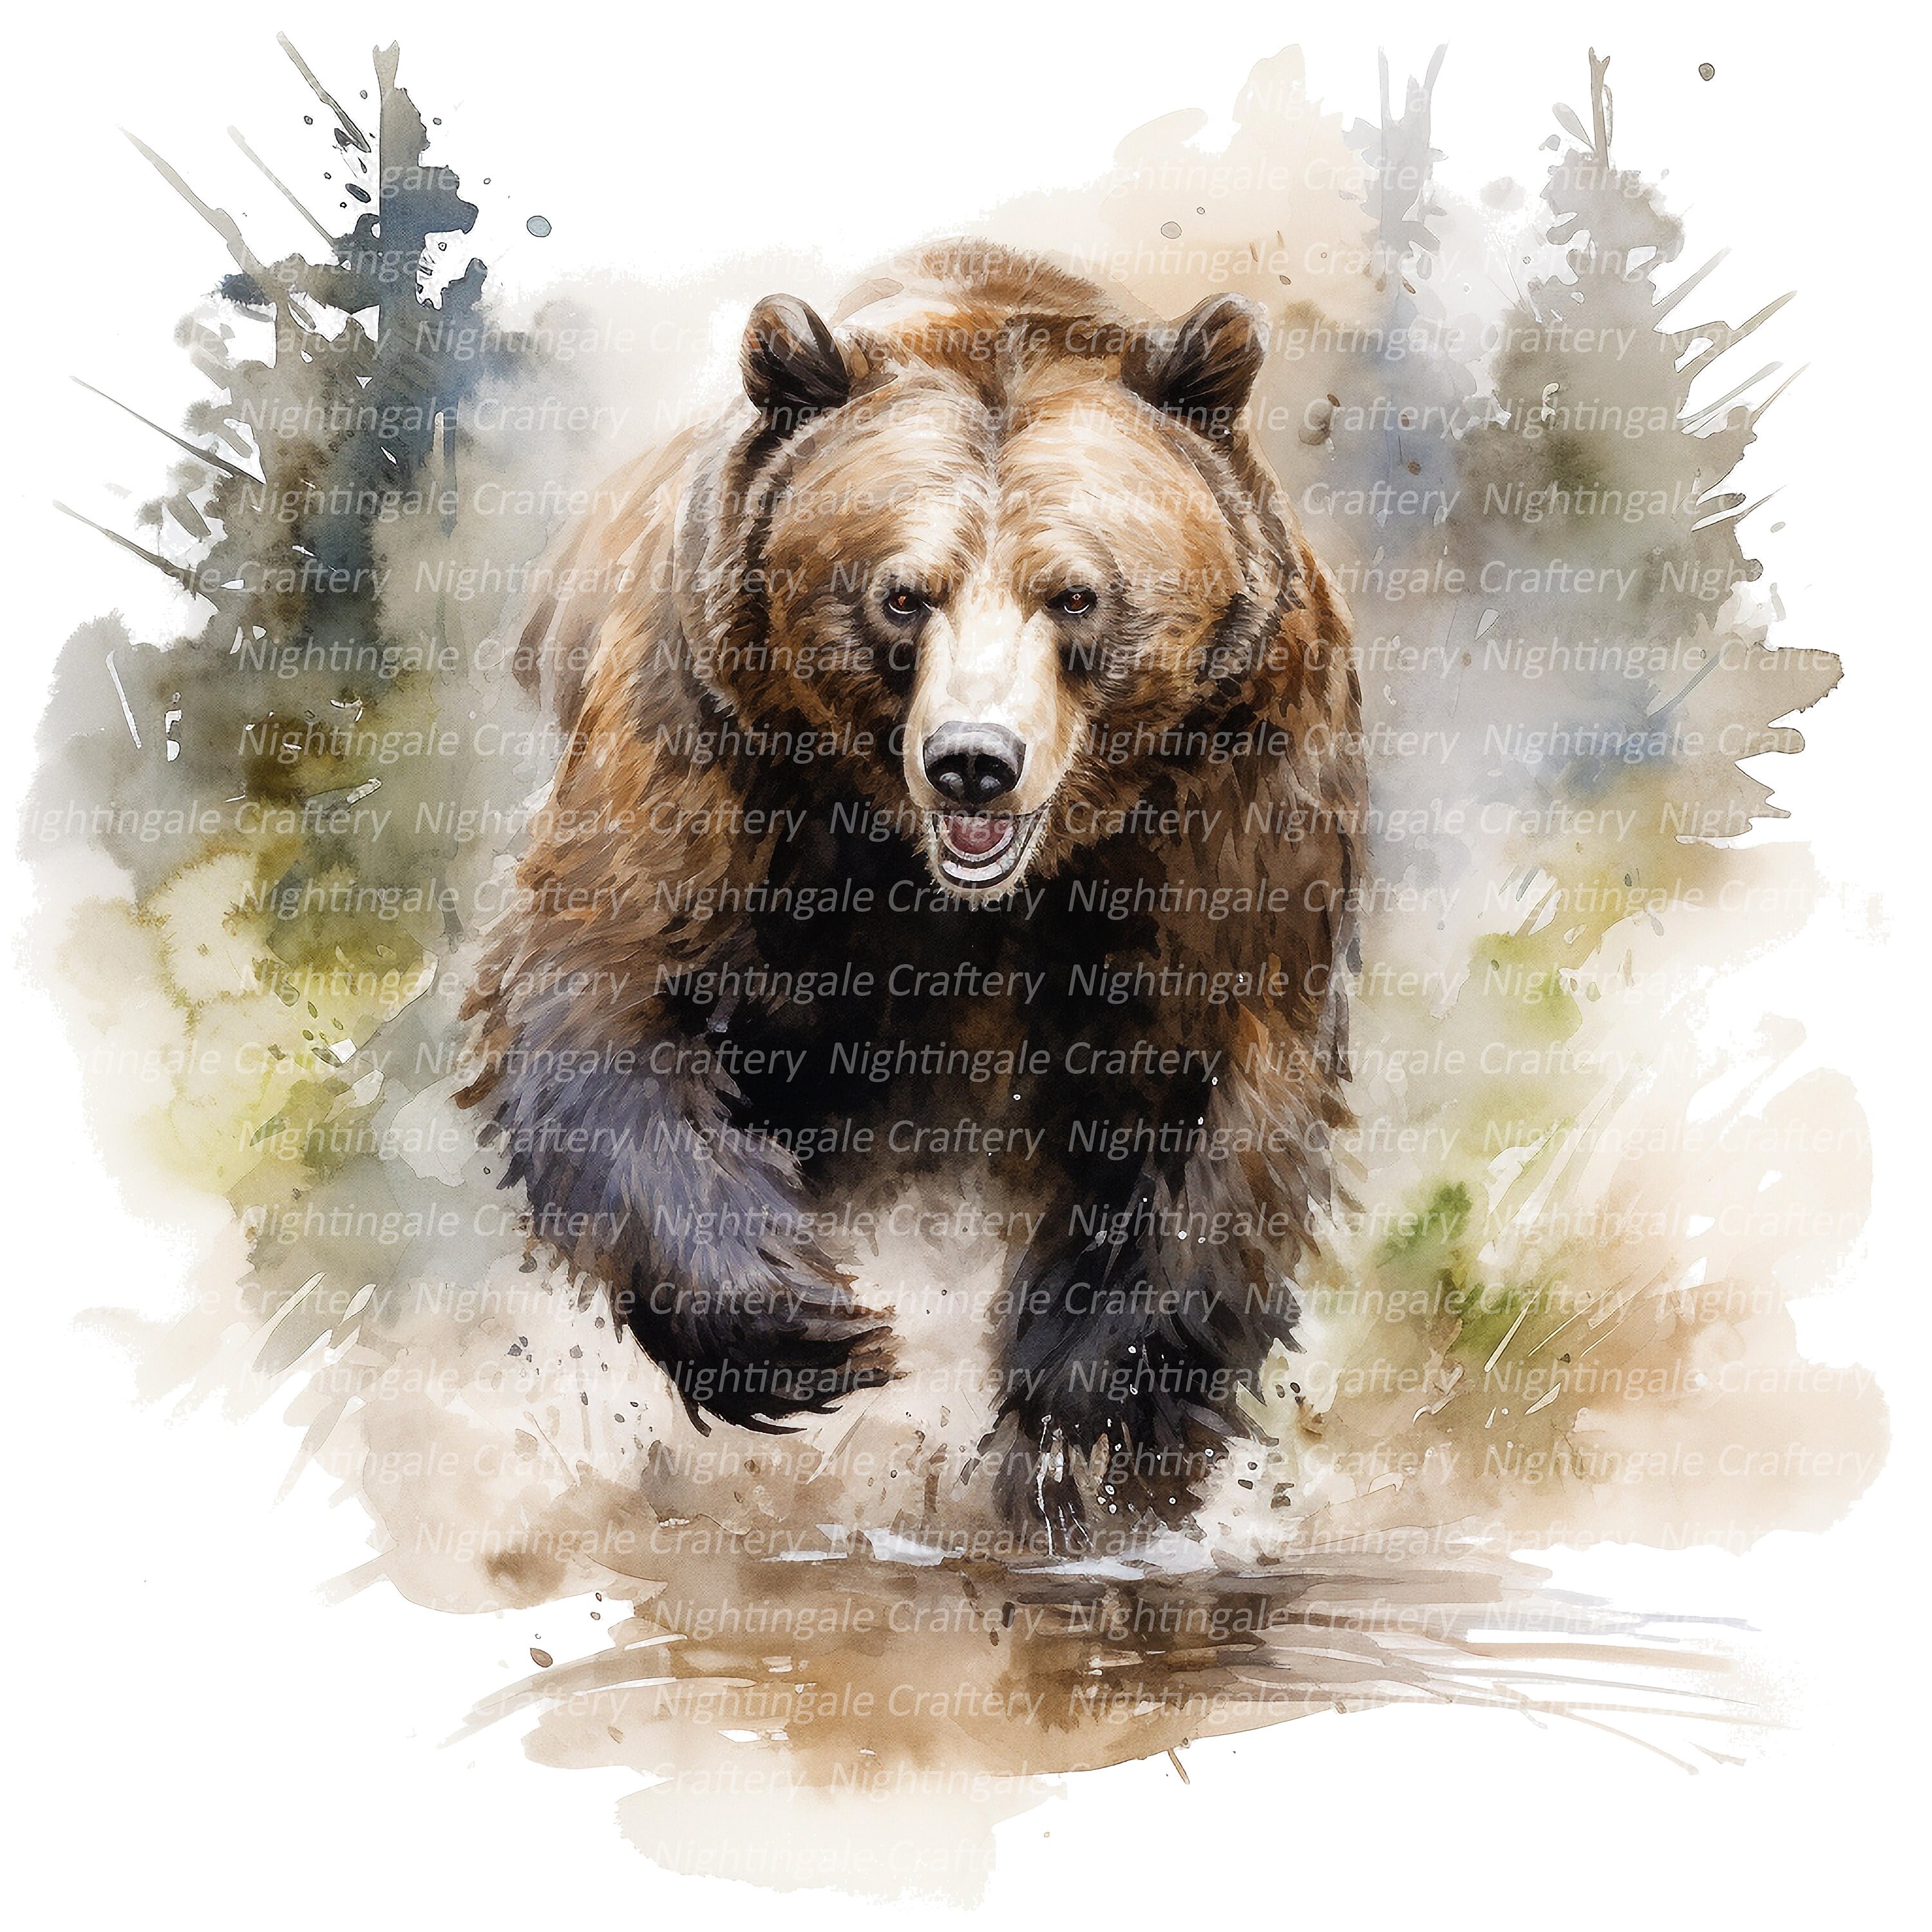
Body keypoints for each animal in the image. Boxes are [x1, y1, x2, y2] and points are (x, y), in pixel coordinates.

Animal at [458, 240, 1364, 1555]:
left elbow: (1199, 1099)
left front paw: (1089, 1442)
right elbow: (605, 995)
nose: (973, 761)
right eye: (901, 594)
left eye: (1075, 595)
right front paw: (807, 1330)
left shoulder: (1225, 793)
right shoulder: (717, 738)